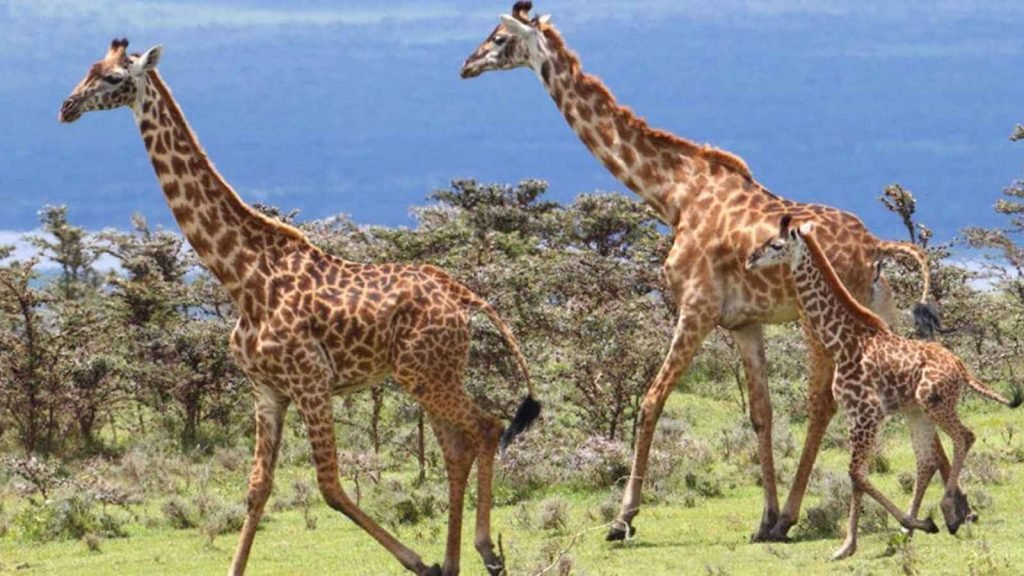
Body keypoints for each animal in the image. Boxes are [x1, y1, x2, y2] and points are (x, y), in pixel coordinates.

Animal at [59, 39, 541, 576]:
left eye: (113, 78)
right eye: (90, 69)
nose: (67, 107)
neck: (241, 276)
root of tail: (464, 296)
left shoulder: (310, 381)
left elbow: (330, 487)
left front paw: (418, 561)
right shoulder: (267, 390)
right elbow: (257, 490)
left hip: (426, 374)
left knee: (488, 427)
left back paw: (484, 551)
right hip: (428, 374)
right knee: (457, 448)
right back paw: (457, 561)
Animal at [461, 1, 953, 542]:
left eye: (499, 37)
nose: (466, 66)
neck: (674, 193)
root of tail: (874, 248)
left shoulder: (695, 308)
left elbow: (651, 400)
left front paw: (623, 518)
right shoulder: (743, 323)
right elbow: (761, 414)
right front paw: (762, 518)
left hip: (818, 321)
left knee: (823, 402)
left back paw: (797, 516)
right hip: (881, 311)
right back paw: (948, 506)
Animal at [747, 215, 1022, 559]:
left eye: (776, 244)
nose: (750, 259)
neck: (843, 340)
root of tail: (962, 368)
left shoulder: (867, 411)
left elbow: (856, 473)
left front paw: (916, 524)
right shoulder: (855, 413)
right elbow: (857, 476)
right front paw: (848, 545)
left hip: (933, 402)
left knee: (965, 437)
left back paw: (946, 513)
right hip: (916, 411)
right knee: (926, 461)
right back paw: (912, 529)